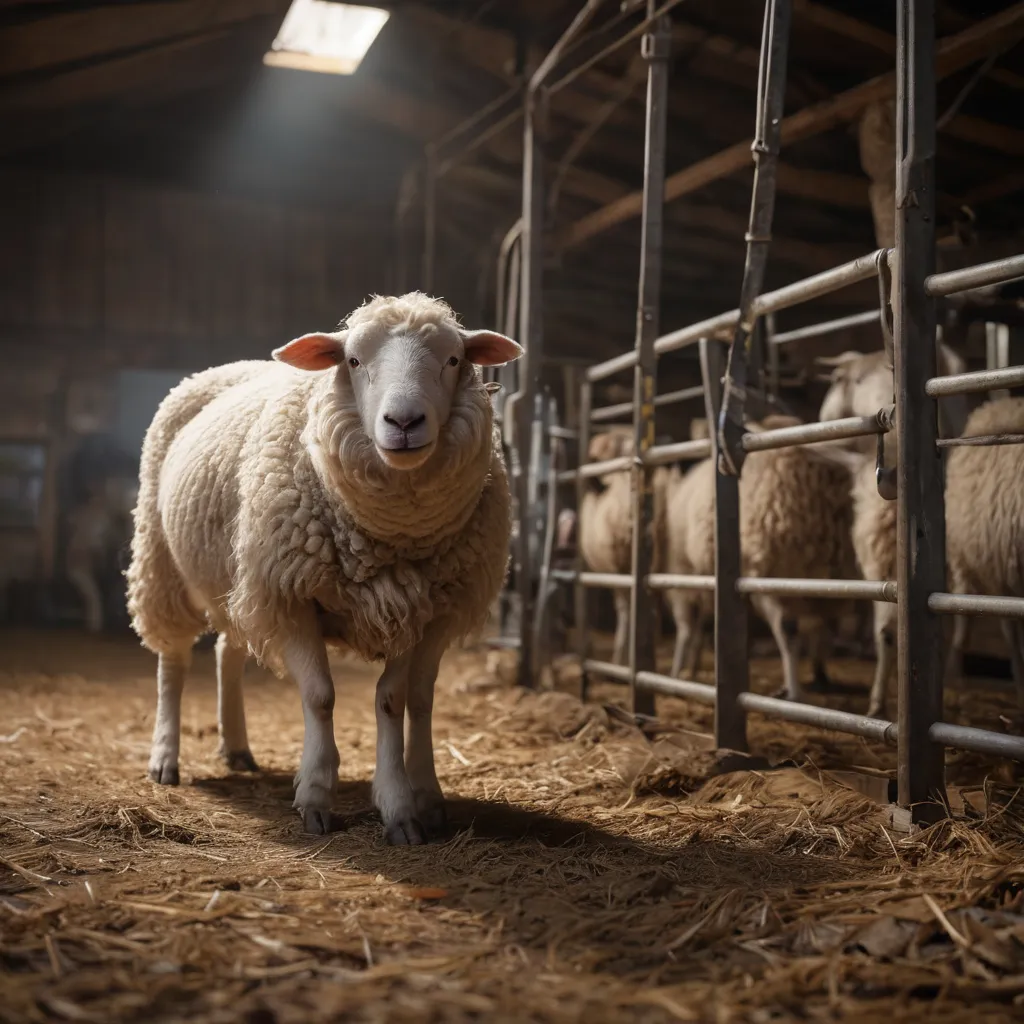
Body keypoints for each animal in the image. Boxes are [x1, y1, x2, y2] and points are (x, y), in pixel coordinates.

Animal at [126, 292, 522, 843]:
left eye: (453, 359)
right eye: (353, 361)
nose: (404, 423)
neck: (394, 536)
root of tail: (221, 367)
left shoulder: (422, 607)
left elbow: (398, 699)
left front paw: (404, 805)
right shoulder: (292, 595)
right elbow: (320, 697)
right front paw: (315, 795)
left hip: (240, 574)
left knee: (229, 649)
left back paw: (237, 747)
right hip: (163, 562)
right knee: (174, 661)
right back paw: (165, 757)